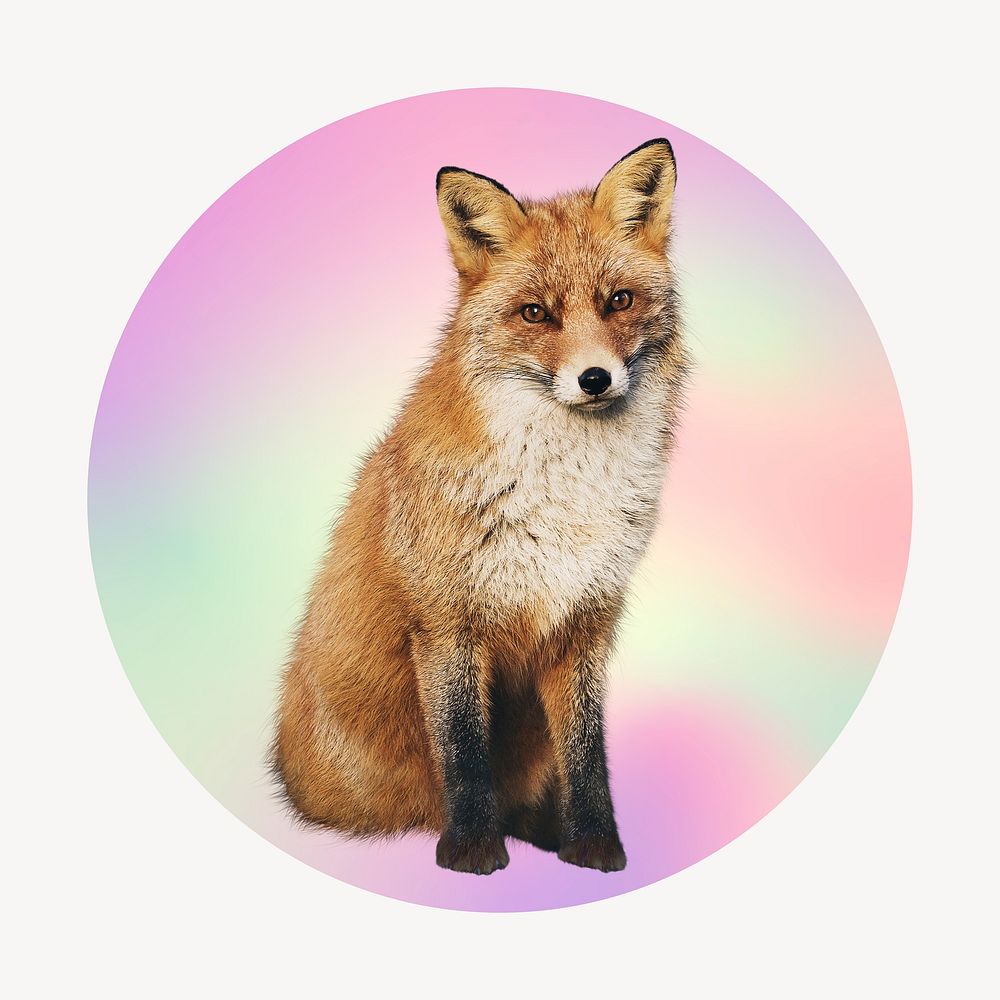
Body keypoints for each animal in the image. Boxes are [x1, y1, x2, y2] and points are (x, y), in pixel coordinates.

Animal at [273, 138, 688, 875]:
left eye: (618, 300)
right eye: (535, 314)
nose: (595, 378)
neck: (564, 495)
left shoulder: (585, 623)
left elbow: (588, 755)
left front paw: (594, 845)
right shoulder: (446, 623)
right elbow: (464, 753)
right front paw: (471, 851)